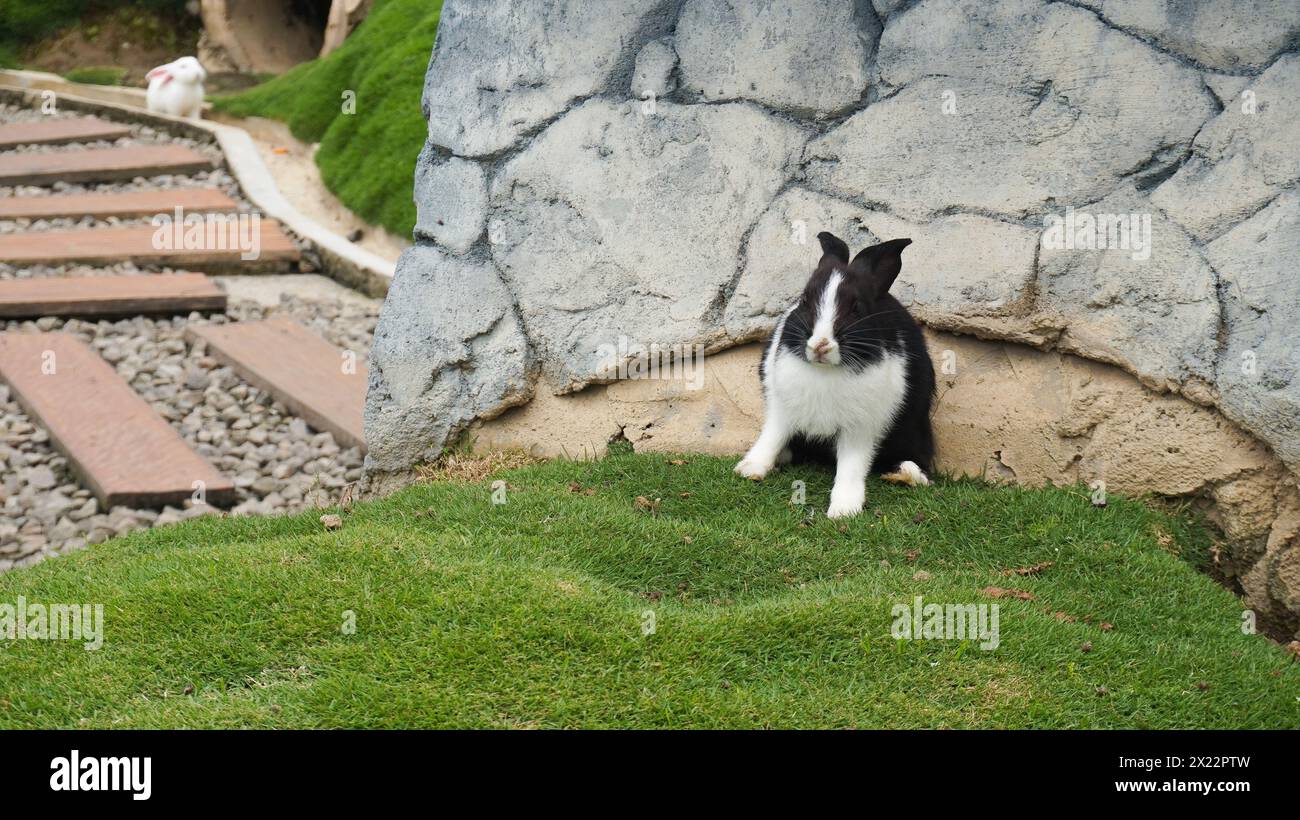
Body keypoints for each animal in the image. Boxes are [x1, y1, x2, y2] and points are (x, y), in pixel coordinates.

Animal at [735, 232, 936, 519]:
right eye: (804, 301)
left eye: (856, 308)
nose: (821, 344)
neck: (824, 371)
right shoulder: (781, 408)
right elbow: (772, 436)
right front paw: (750, 469)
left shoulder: (861, 427)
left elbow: (852, 465)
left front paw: (844, 509)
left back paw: (907, 473)